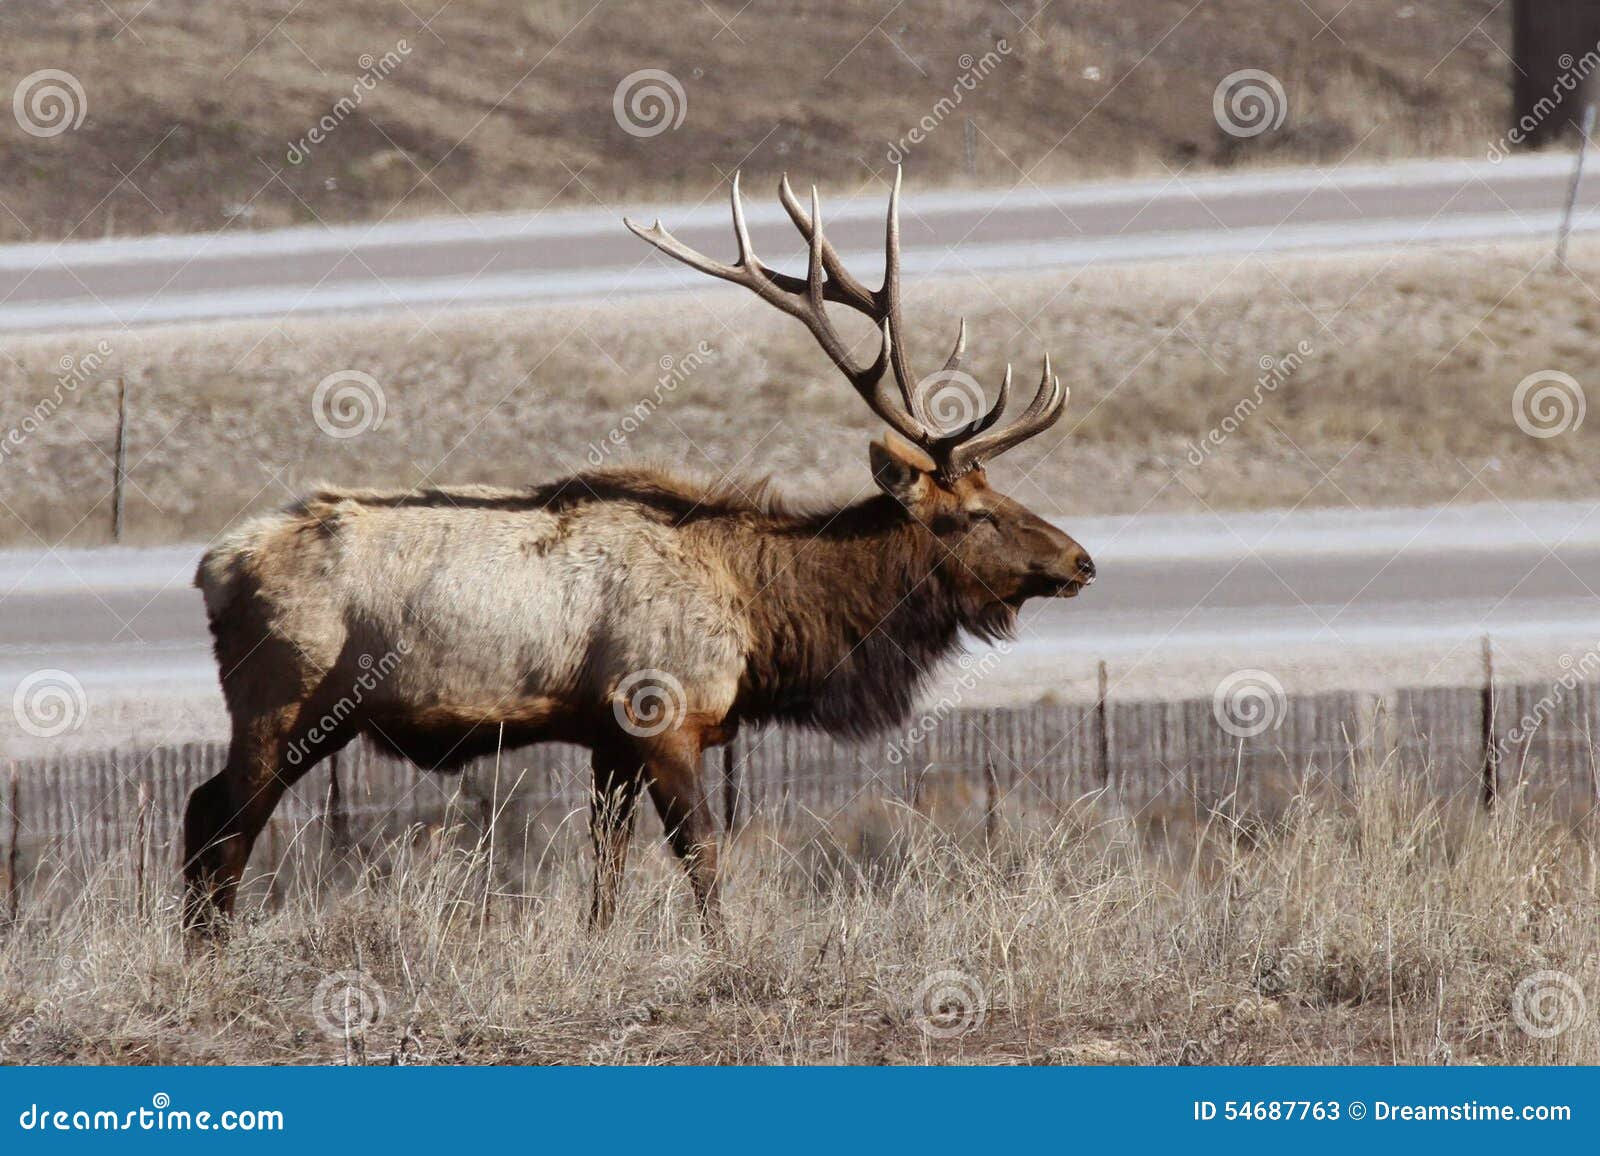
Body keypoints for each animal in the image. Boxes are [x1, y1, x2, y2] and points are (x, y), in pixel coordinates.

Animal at [183, 169, 1094, 940]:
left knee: (205, 810)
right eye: (976, 514)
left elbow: (607, 866)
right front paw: (724, 952)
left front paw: (597, 946)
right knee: (220, 819)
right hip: (280, 700)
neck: (763, 620)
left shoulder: (607, 736)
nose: (1082, 561)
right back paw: (215, 950)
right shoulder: (661, 712)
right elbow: (701, 855)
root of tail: (213, 567)